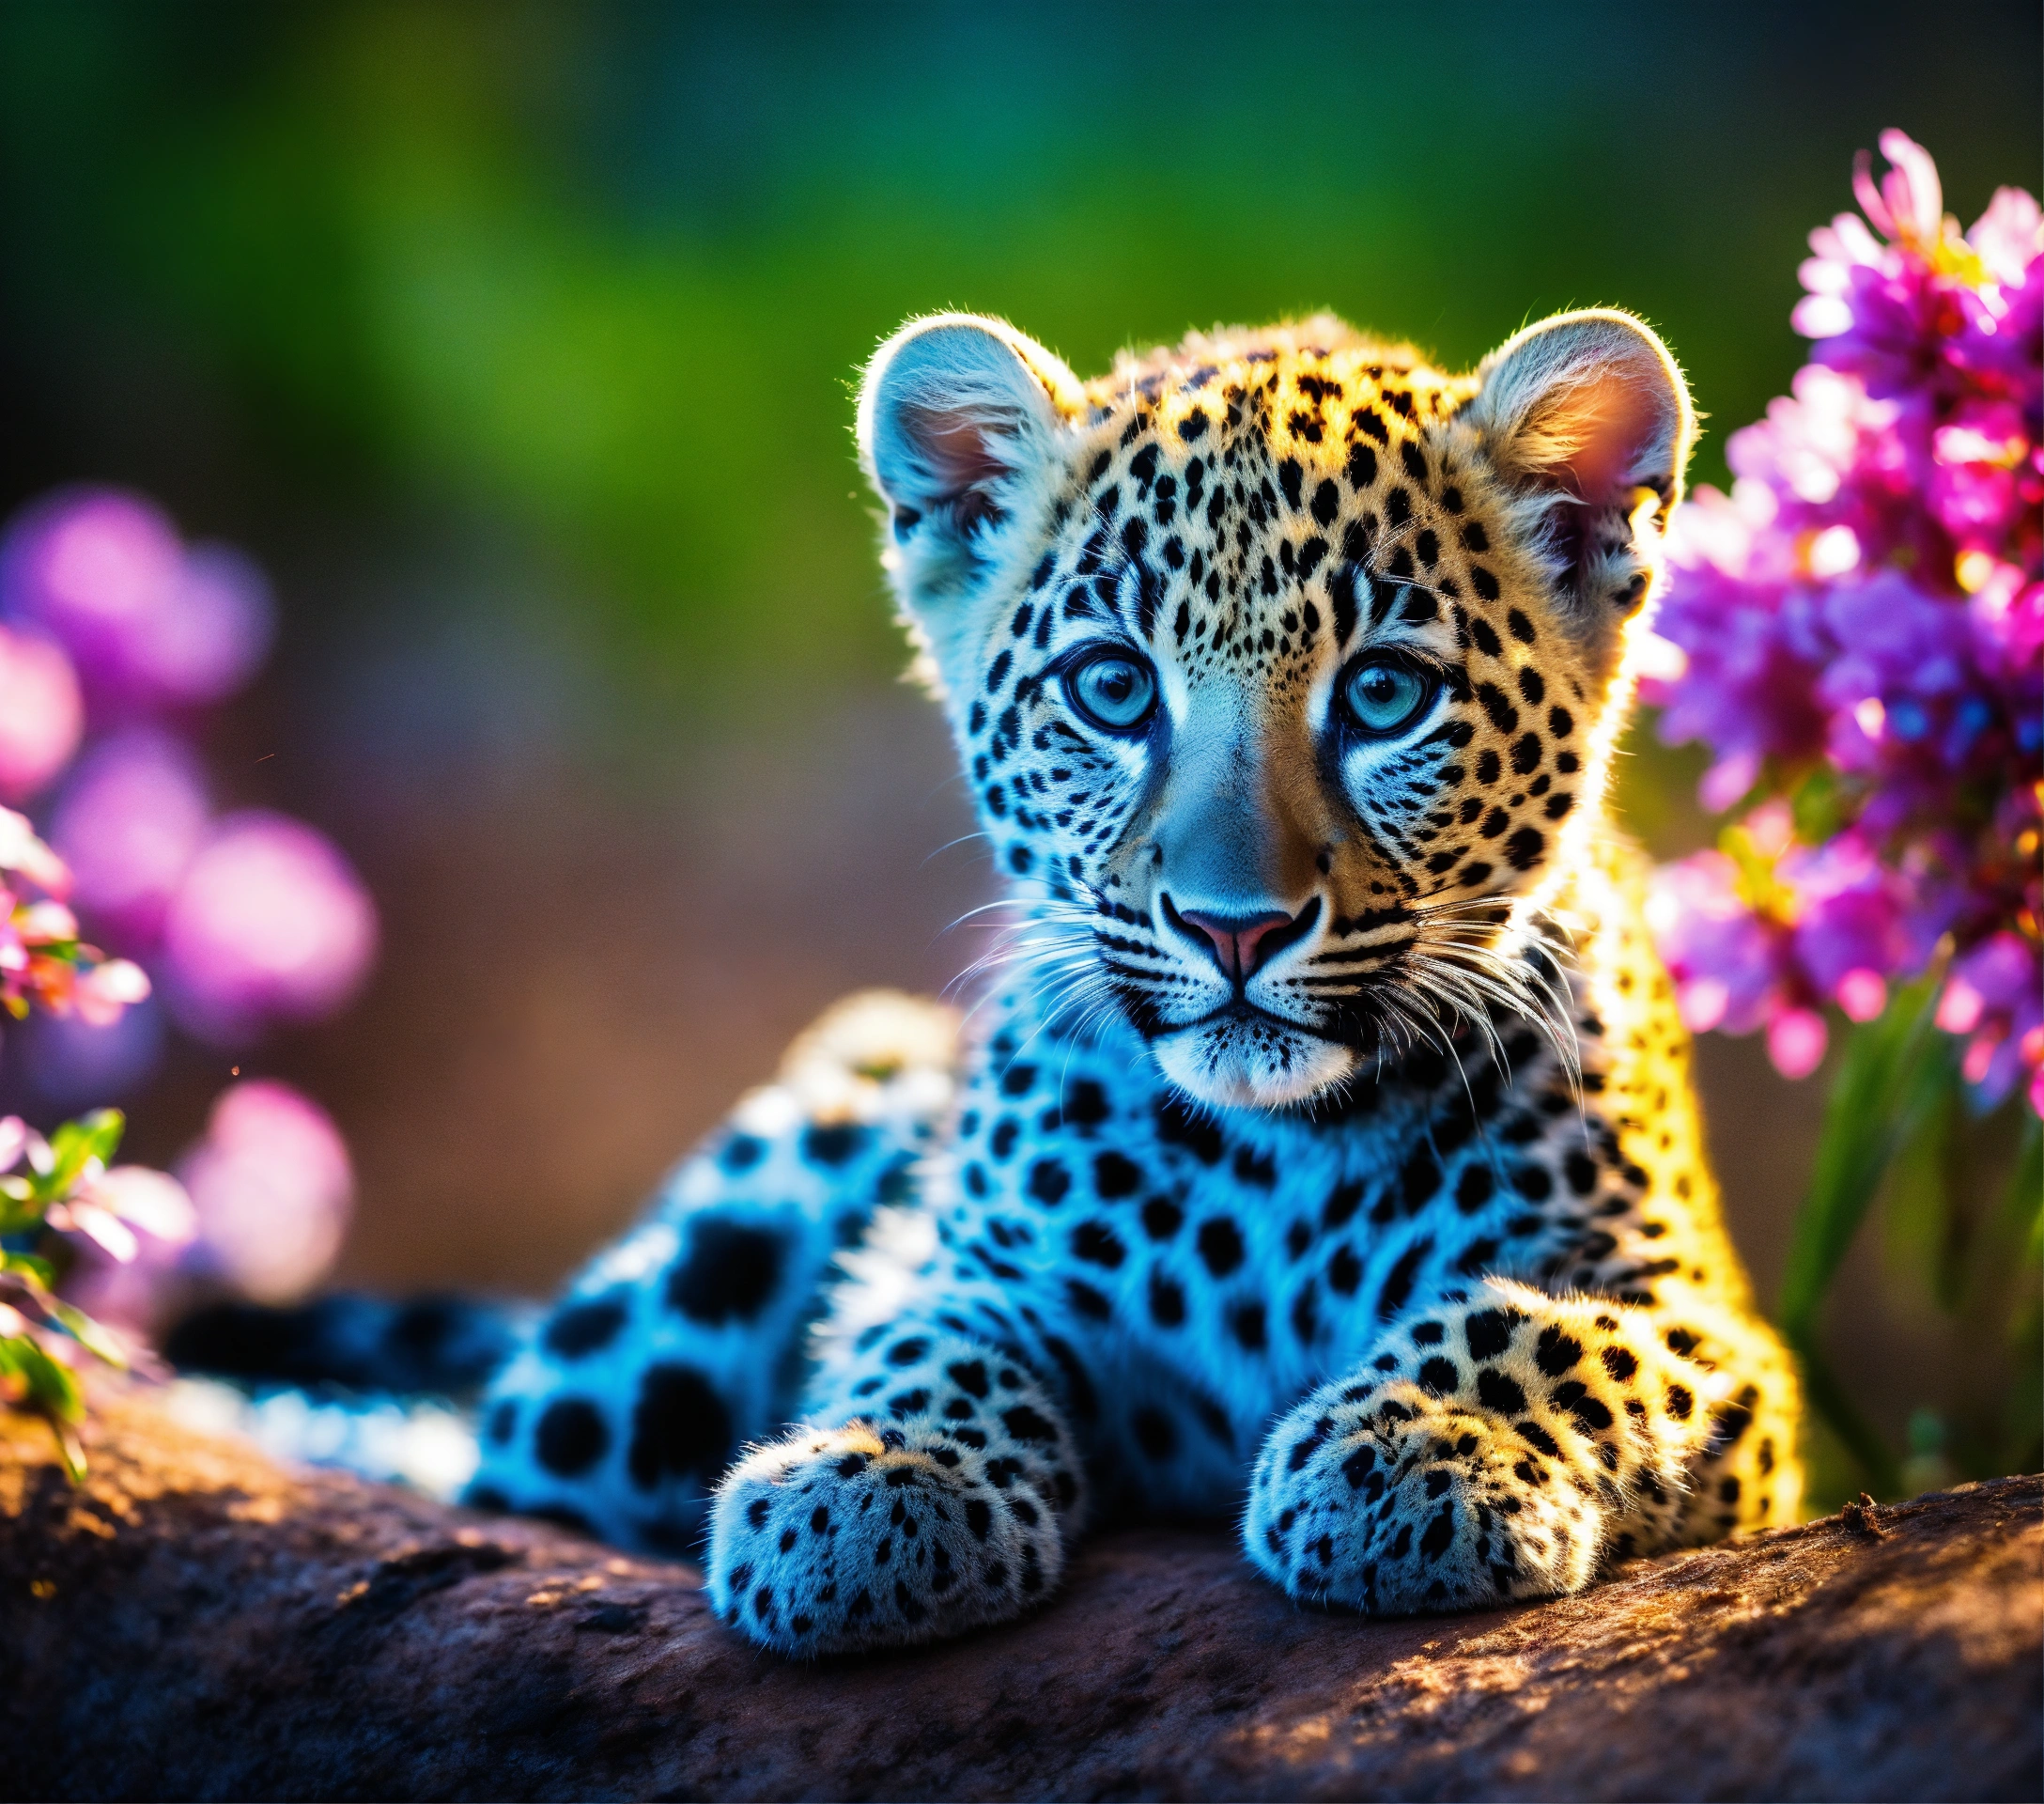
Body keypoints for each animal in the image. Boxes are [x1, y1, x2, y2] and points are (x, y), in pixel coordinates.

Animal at [452, 305, 1803, 1655]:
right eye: (1112, 687)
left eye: (1383, 694)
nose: (1233, 928)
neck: (1282, 1155)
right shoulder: (966, 1262)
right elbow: (928, 1336)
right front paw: (873, 1478)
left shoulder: (1709, 1319)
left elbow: (1539, 1325)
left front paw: (1421, 1447)